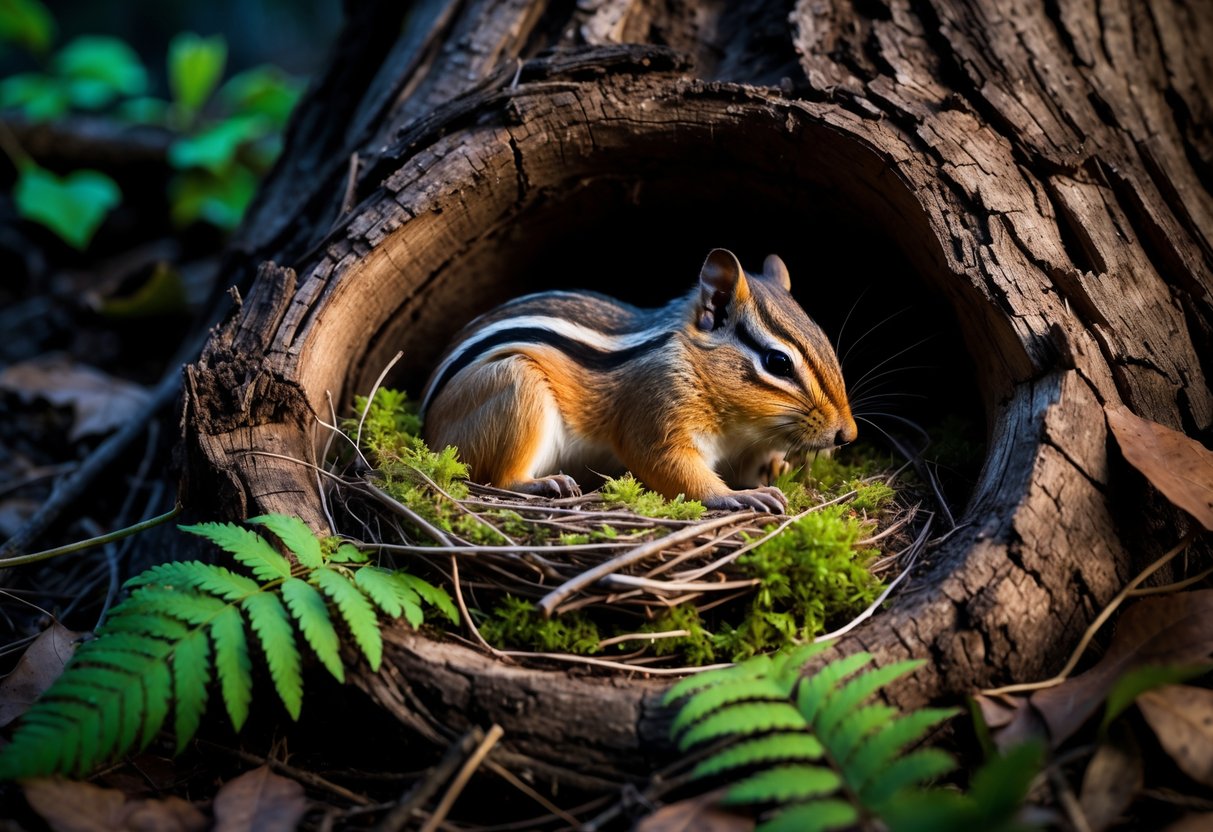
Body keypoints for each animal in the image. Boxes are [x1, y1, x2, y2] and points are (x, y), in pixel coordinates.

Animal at [420, 249, 857, 513]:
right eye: (778, 362)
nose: (847, 435)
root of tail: (428, 432)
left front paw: (777, 467)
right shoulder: (655, 408)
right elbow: (666, 465)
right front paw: (741, 496)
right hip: (516, 386)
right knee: (499, 478)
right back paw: (545, 485)